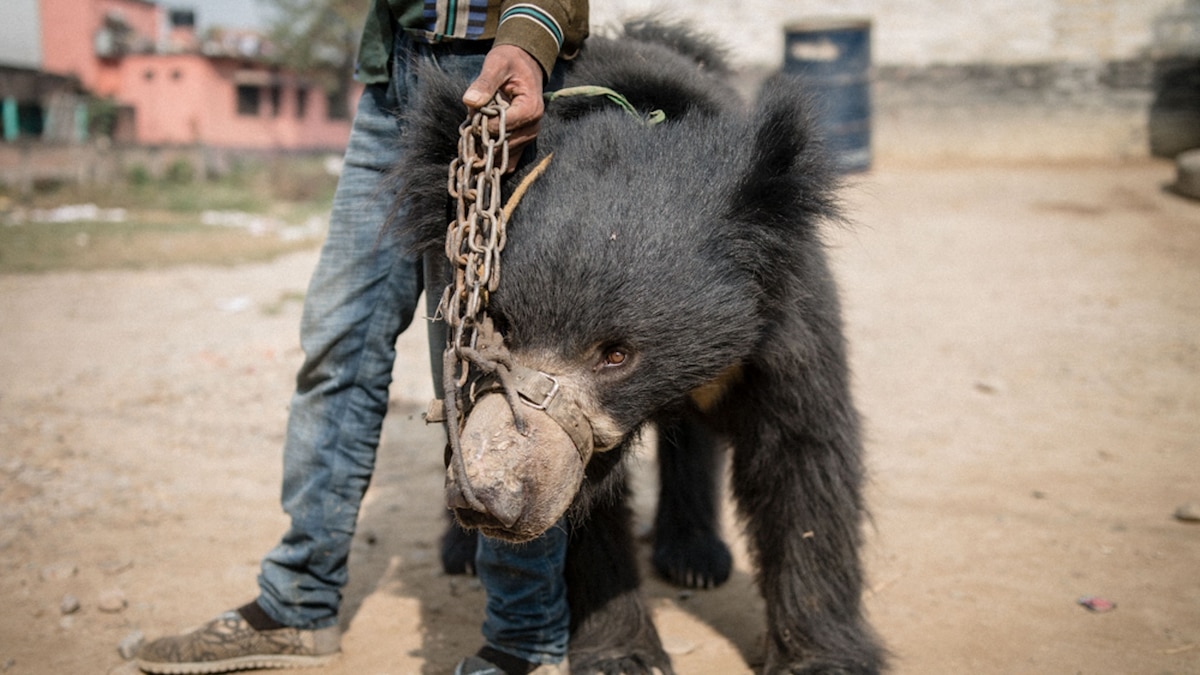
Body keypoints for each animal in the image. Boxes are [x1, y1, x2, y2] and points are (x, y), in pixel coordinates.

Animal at [395, 20, 886, 675]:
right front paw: (623, 655)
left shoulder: (783, 319)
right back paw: (461, 554)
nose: (492, 501)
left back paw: (695, 557)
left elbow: (802, 451)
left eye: (616, 355)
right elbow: (583, 506)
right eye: (500, 329)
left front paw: (821, 658)